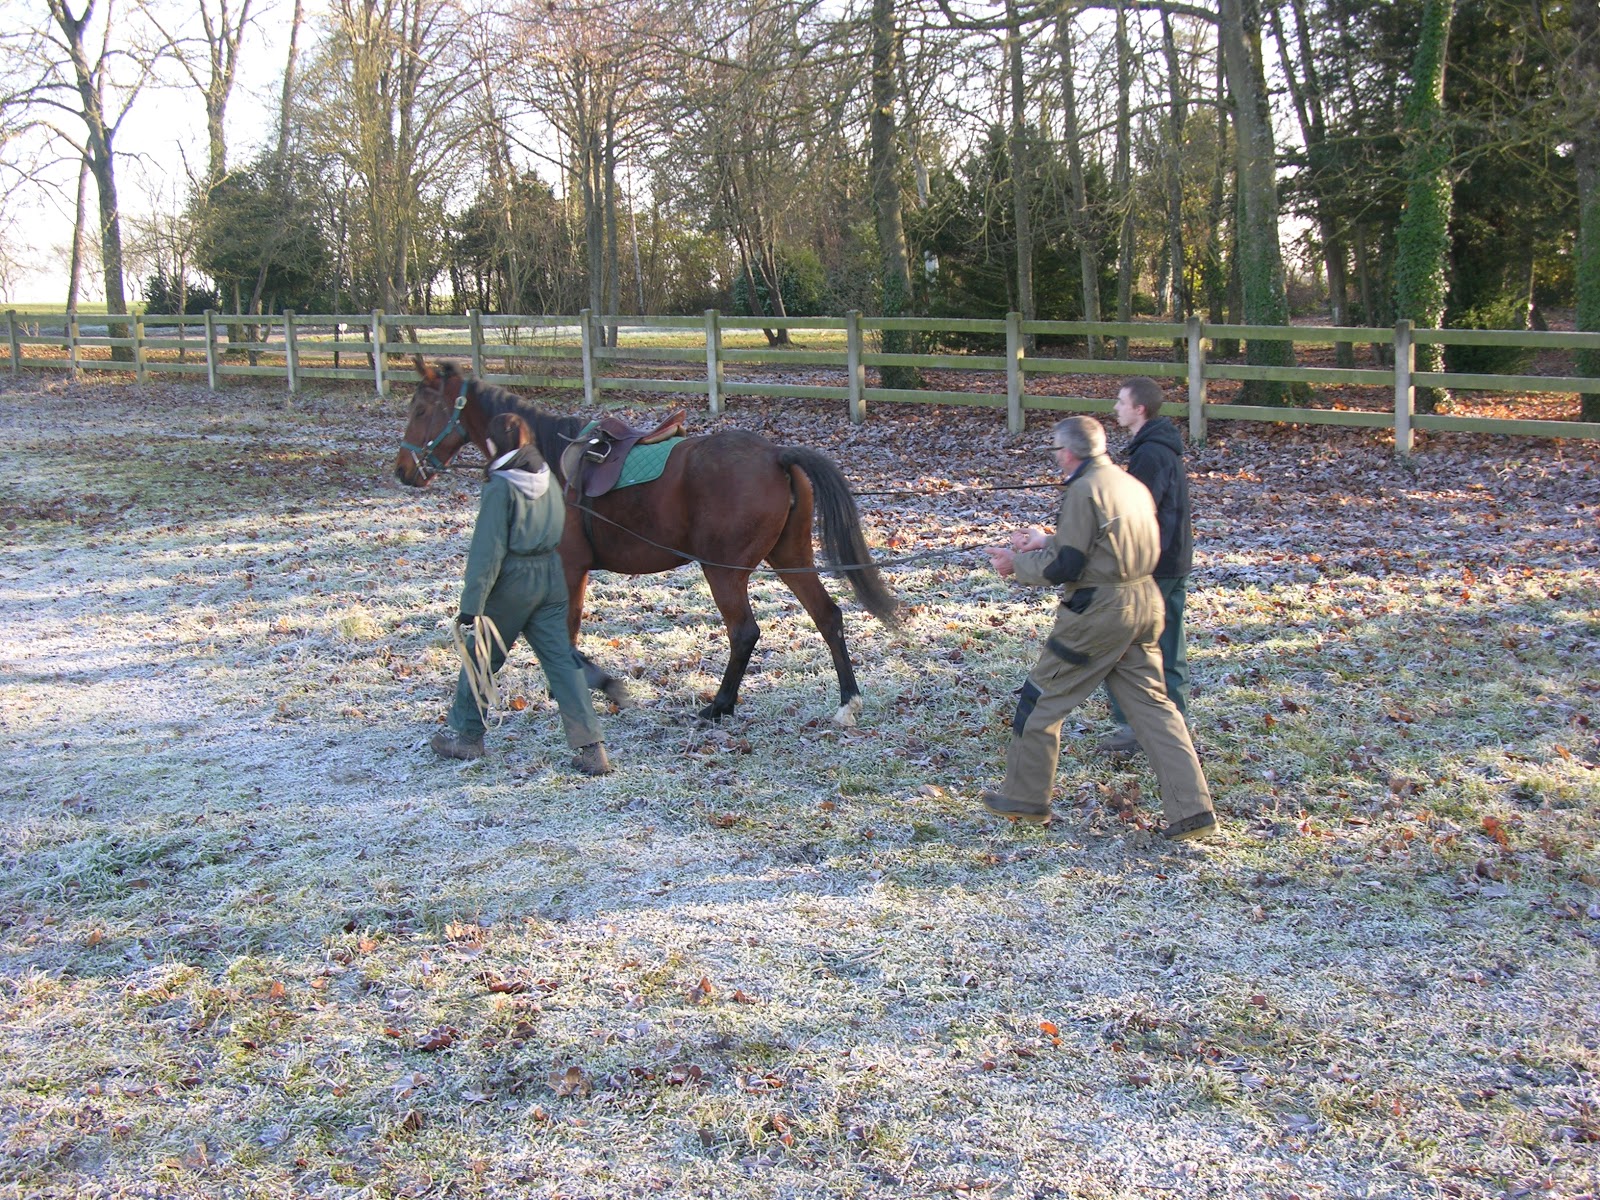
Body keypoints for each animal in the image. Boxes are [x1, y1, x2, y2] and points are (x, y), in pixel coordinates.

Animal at [394, 361, 899, 726]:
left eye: (420, 410)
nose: (403, 470)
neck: (543, 462)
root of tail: (776, 454)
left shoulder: (569, 567)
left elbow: (565, 632)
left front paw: (594, 687)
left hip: (722, 570)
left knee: (744, 633)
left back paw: (721, 704)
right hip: (790, 557)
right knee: (827, 617)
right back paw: (848, 702)